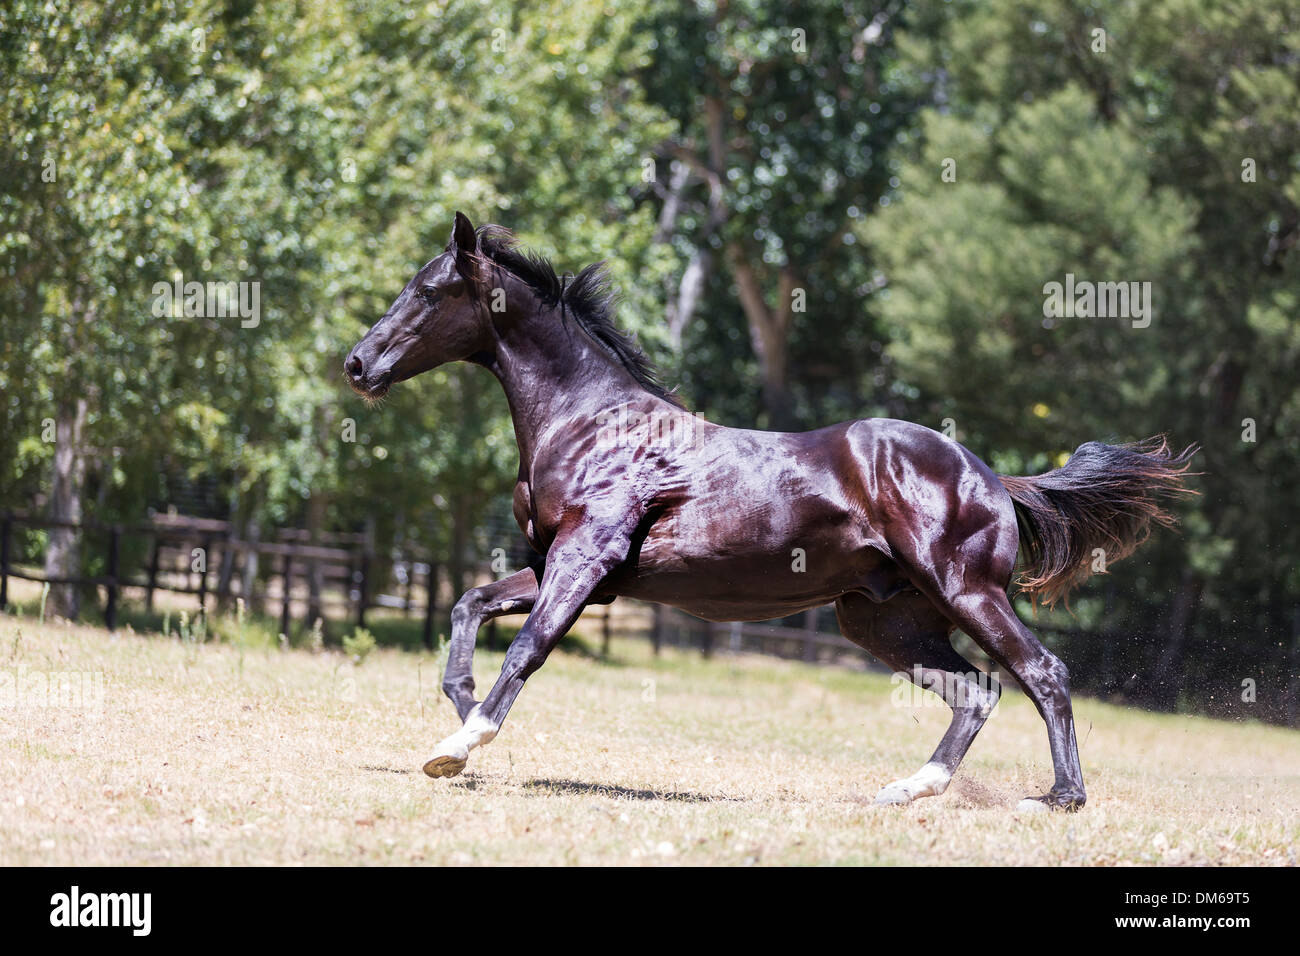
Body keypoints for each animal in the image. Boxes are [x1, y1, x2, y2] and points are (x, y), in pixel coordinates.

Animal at [345, 212, 1195, 811]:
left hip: (966, 592)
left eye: (428, 291)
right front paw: (460, 711)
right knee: (976, 691)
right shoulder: (568, 569)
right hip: (882, 619)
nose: (357, 364)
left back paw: (1059, 799)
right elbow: (469, 604)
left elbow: (528, 647)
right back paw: (908, 789)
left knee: (1041, 672)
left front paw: (459, 747)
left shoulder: (586, 560)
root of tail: (991, 478)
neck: (591, 421)